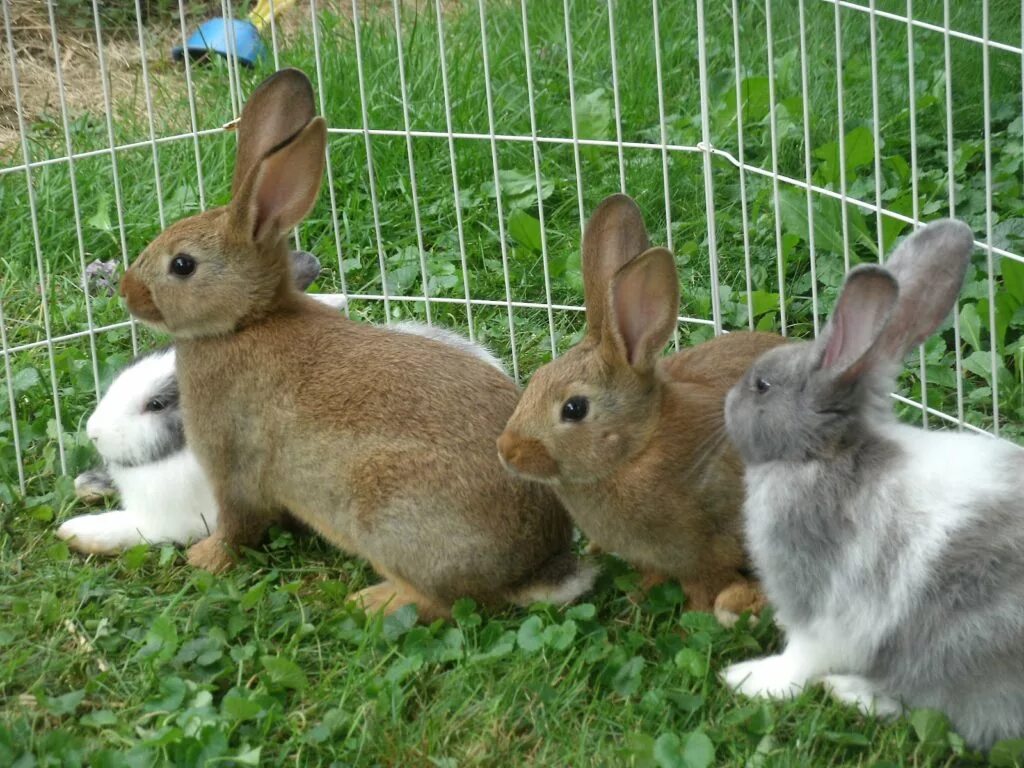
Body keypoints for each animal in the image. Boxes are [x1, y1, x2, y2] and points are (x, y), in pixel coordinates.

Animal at [117, 69, 593, 622]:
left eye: (182, 265)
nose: (126, 290)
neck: (245, 323)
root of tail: (536, 569)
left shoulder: (233, 465)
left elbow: (238, 525)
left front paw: (204, 559)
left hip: (385, 515)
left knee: (444, 603)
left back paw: (372, 602)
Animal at [497, 192, 782, 626]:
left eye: (574, 408)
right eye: (537, 377)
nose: (506, 450)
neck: (638, 448)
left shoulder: (702, 551)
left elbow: (703, 589)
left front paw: (685, 622)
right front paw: (637, 599)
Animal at [720, 221, 1024, 753]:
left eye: (761, 386)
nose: (725, 400)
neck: (824, 456)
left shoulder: (822, 603)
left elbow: (800, 657)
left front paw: (750, 680)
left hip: (968, 640)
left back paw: (851, 691)